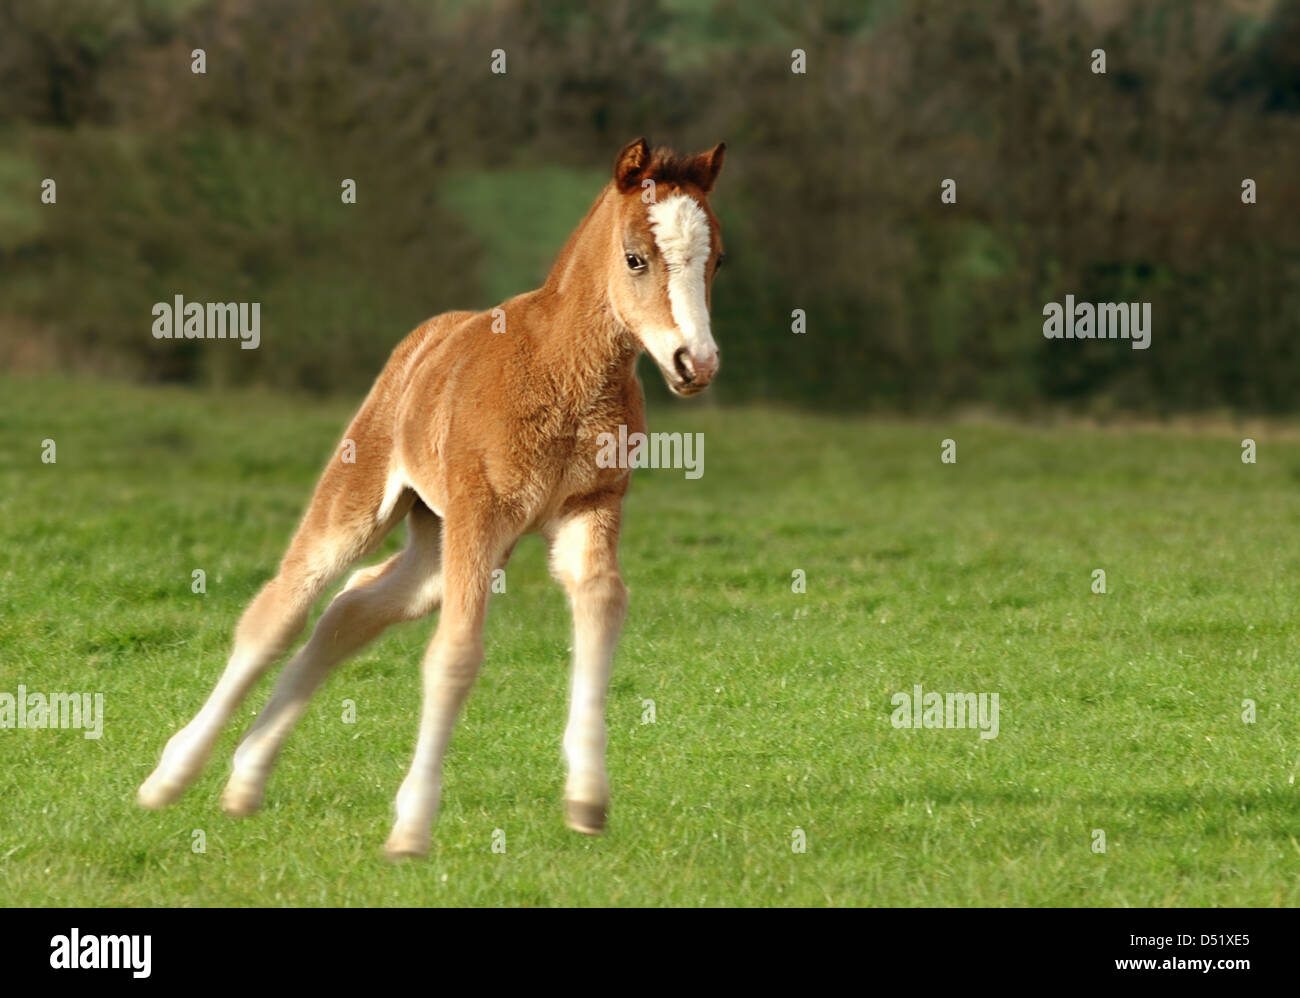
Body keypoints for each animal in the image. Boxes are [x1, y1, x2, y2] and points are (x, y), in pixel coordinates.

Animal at [137, 137, 727, 857]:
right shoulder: (480, 510)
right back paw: (171, 775)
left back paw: (246, 777)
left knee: (353, 607)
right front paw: (412, 827)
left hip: (437, 539)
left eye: (717, 259)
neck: (566, 373)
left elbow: (601, 605)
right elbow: (454, 654)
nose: (695, 362)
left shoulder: (589, 507)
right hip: (367, 497)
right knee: (283, 609)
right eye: (636, 257)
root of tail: (427, 336)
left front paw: (587, 797)